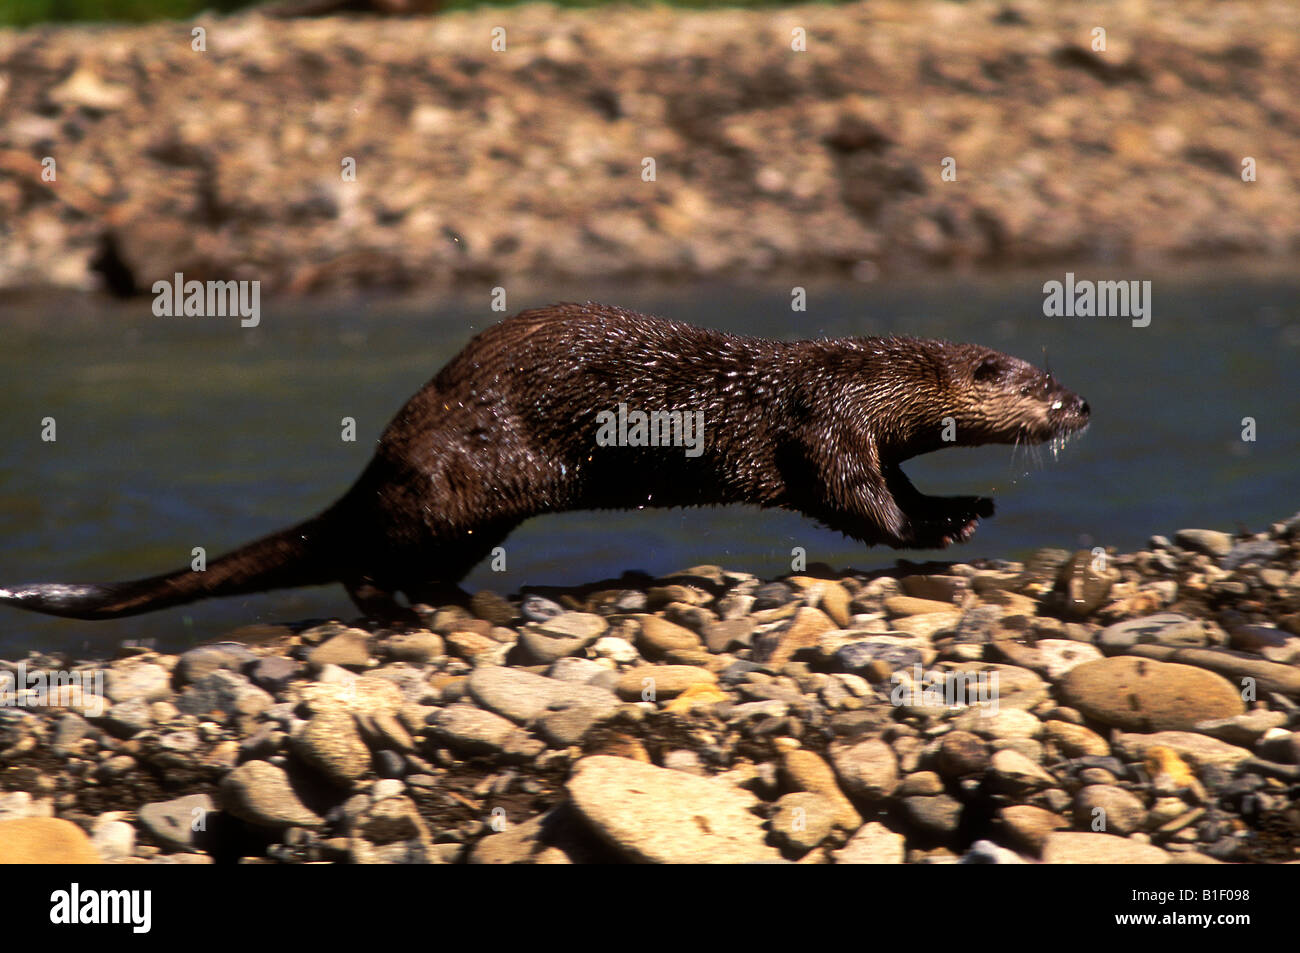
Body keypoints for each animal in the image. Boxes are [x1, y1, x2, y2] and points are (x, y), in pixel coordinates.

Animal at [0, 302, 1088, 622]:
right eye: (1040, 383)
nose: (1084, 402)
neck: (869, 380)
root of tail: (390, 449)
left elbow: (893, 483)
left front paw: (960, 508)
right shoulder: (822, 423)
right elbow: (853, 497)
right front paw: (932, 526)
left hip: (473, 511)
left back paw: (448, 595)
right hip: (447, 482)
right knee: (364, 555)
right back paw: (407, 607)